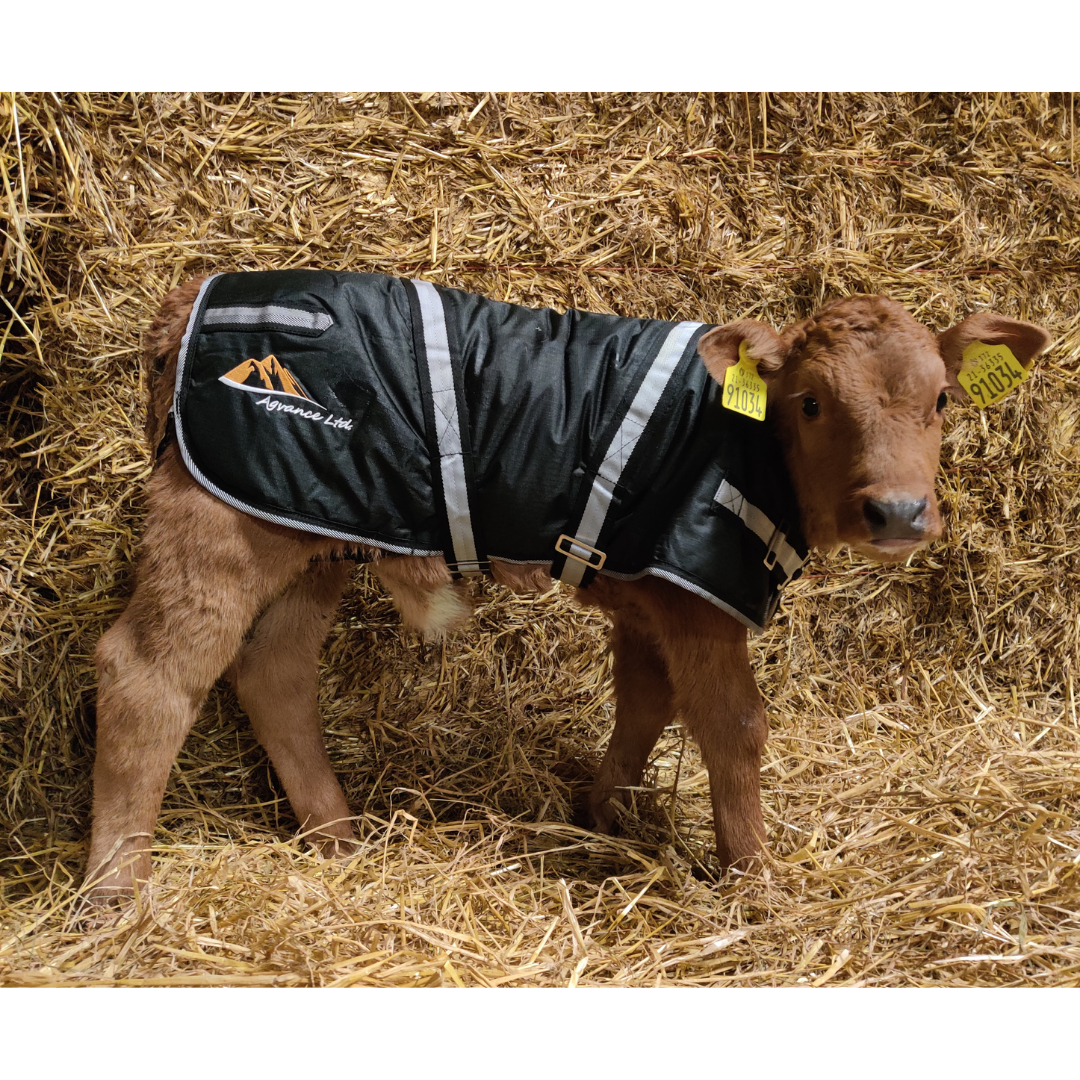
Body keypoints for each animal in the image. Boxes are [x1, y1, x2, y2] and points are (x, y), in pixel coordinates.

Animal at [84, 271, 1050, 905]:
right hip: (222, 522)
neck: (743, 444)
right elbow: (734, 727)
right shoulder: (698, 598)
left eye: (942, 400)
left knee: (274, 673)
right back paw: (115, 893)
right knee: (147, 675)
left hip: (313, 529)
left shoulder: (647, 595)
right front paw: (751, 878)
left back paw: (338, 838)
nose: (899, 510)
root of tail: (189, 300)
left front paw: (602, 814)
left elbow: (643, 703)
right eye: (810, 403)